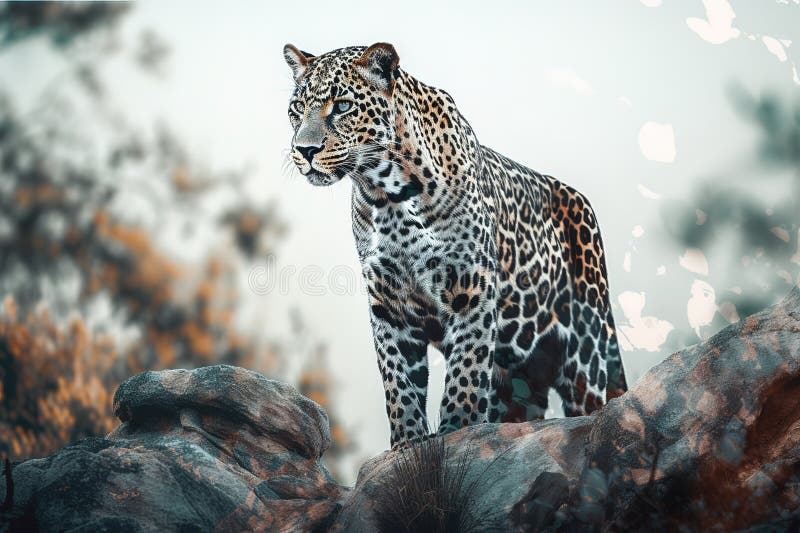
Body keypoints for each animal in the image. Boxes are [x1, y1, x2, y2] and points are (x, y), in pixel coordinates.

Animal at [283, 42, 628, 447]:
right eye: (296, 108)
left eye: (342, 106)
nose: (304, 150)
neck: (387, 194)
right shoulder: (388, 304)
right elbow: (398, 380)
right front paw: (408, 442)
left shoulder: (472, 288)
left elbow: (466, 369)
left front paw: (456, 430)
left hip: (585, 351)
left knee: (591, 406)